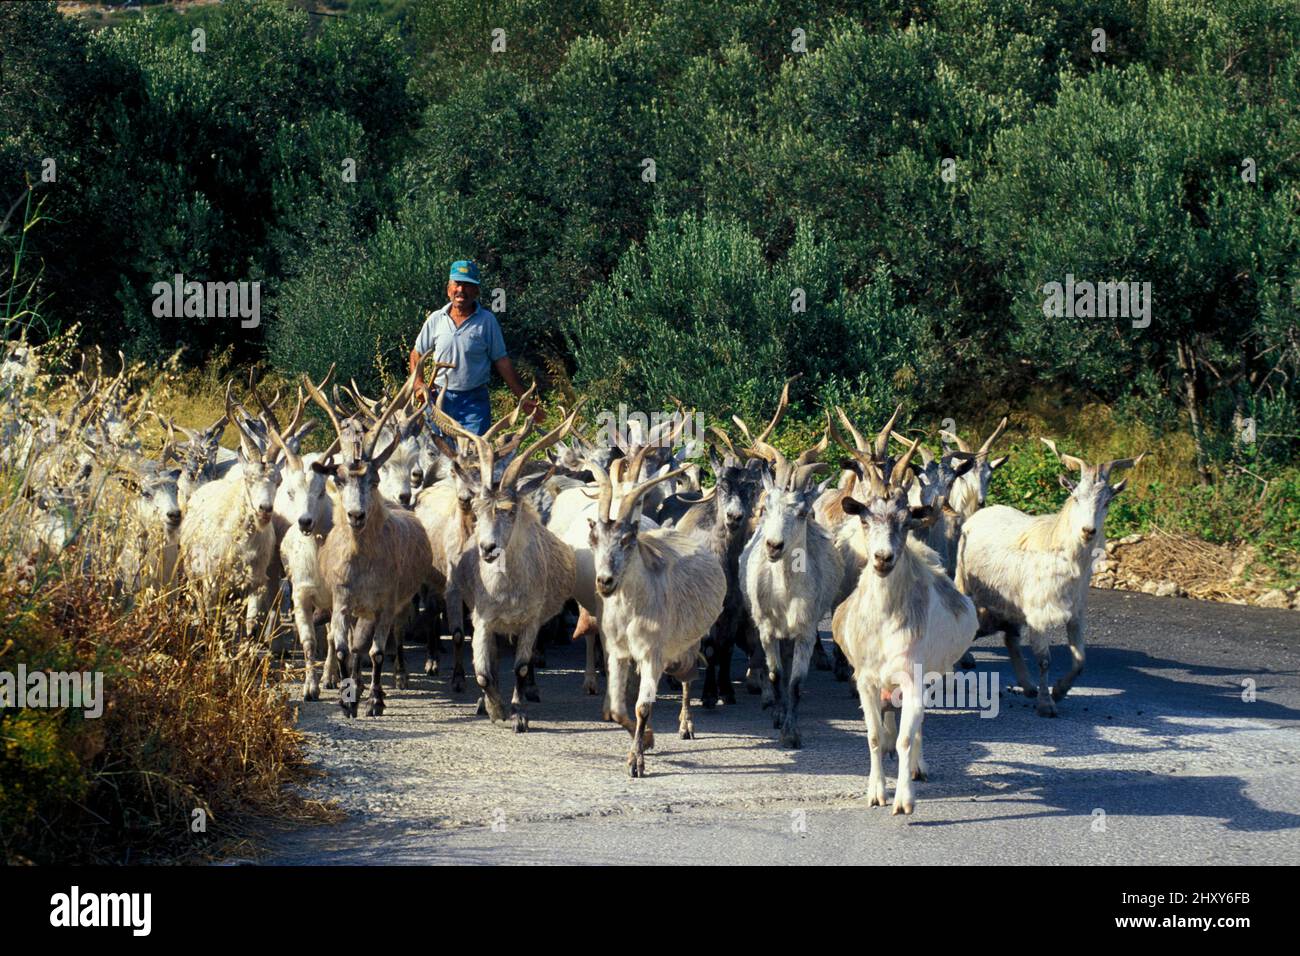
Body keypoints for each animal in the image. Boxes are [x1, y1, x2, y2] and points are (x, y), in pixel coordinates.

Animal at [955, 440, 1145, 716]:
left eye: (1107, 502)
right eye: (1075, 497)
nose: (1088, 531)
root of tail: (978, 514)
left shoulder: (1075, 615)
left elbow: (1080, 661)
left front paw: (1059, 691)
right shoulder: (1039, 615)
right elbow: (1044, 660)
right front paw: (1046, 704)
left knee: (1010, 637)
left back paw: (1027, 685)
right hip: (966, 585)